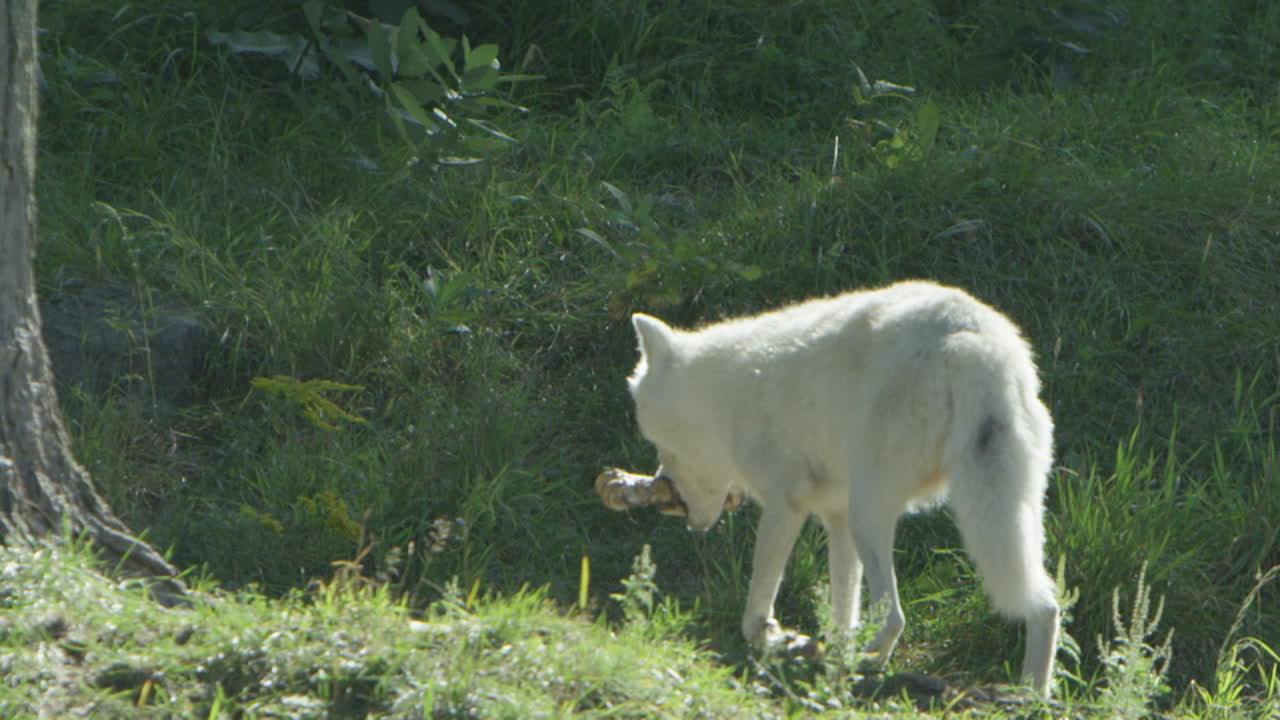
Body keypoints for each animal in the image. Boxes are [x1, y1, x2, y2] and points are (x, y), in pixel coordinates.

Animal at [626, 280, 1059, 697]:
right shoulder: (836, 521)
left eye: (662, 447)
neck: (728, 399)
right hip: (998, 516)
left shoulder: (785, 507)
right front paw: (827, 657)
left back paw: (868, 665)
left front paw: (784, 641)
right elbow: (843, 613)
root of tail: (971, 340)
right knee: (1046, 606)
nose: (663, 489)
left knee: (894, 617)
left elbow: (755, 615)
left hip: (870, 517)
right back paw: (1031, 695)